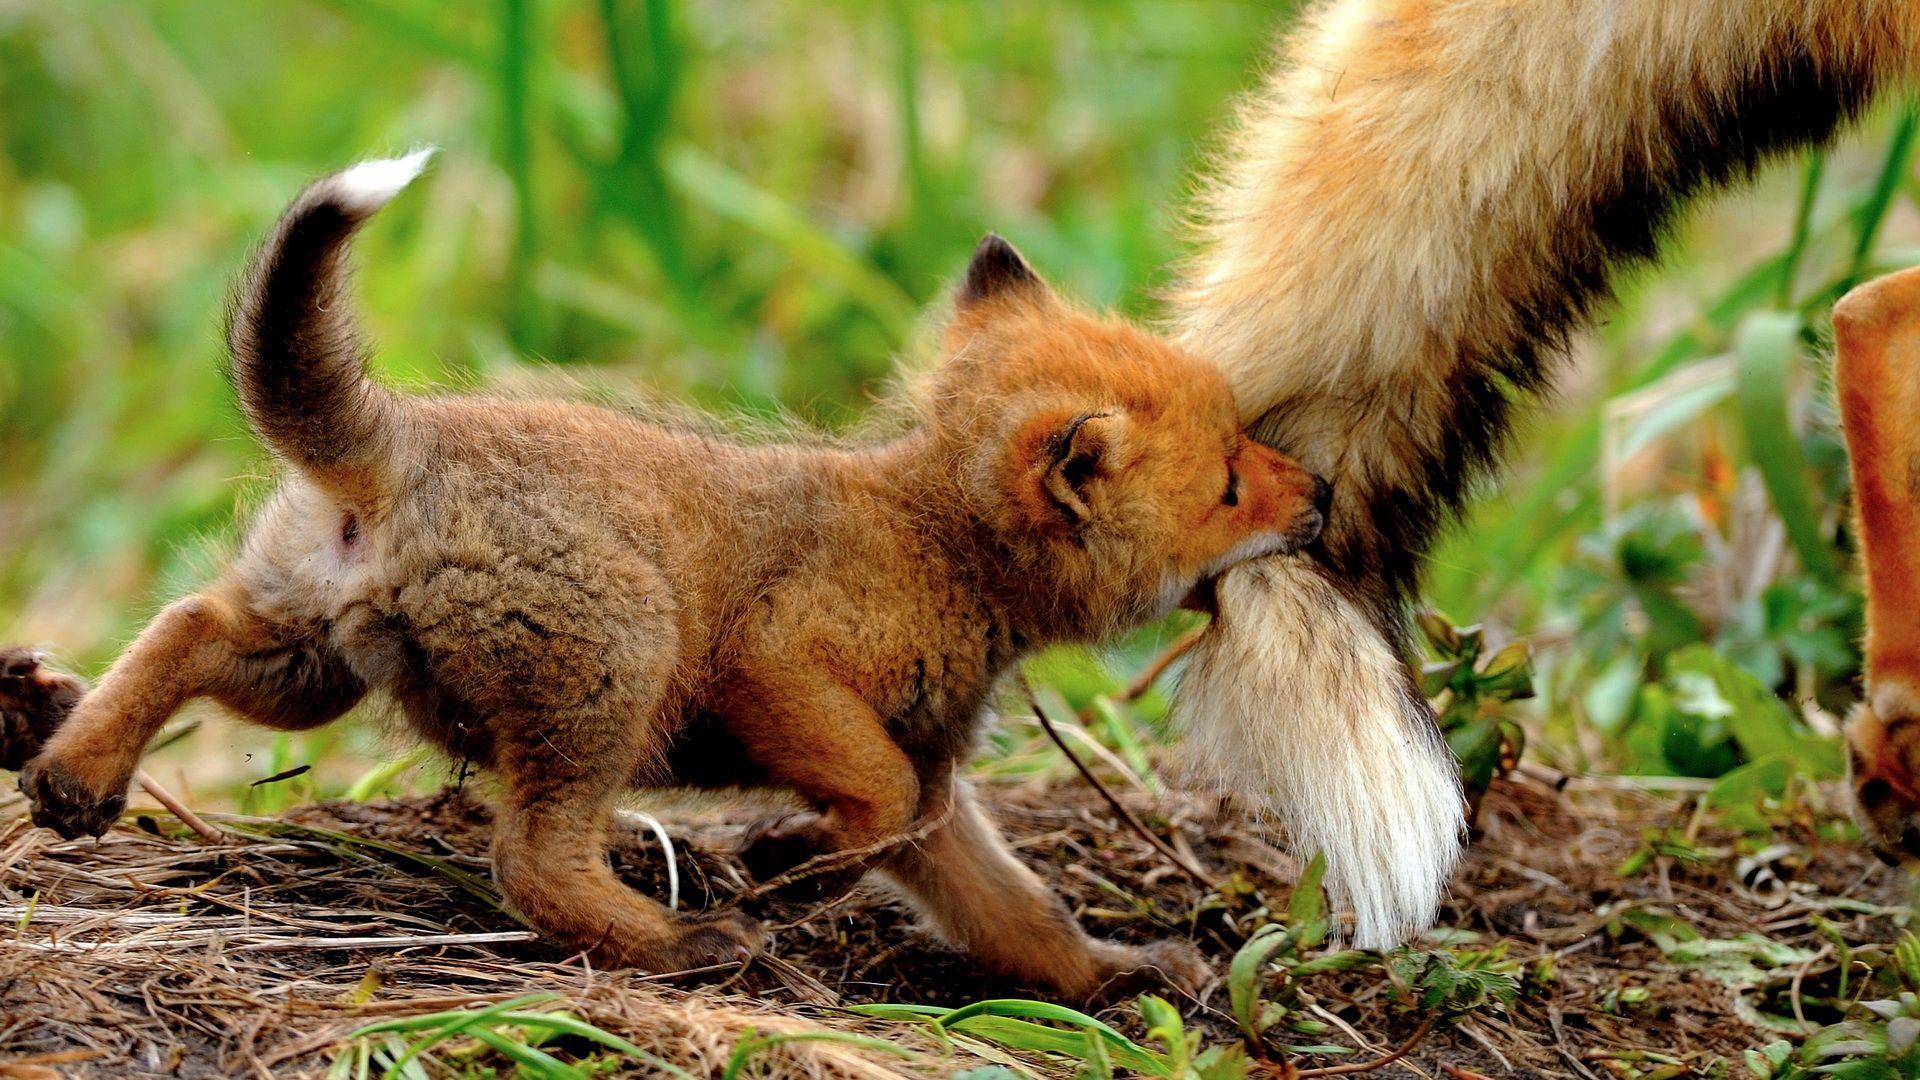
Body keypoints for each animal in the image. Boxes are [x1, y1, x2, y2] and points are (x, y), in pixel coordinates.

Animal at [6, 151, 1330, 999]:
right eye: (1229, 482)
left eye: (1246, 447)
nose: (1320, 494)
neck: (935, 542)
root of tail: (399, 438)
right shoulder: (779, 668)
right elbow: (871, 797)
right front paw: (783, 864)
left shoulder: (941, 791)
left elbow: (1014, 911)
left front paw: (1113, 975)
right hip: (616, 665)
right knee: (530, 861)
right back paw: (682, 946)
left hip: (308, 662)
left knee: (184, 619)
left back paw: (71, 768)